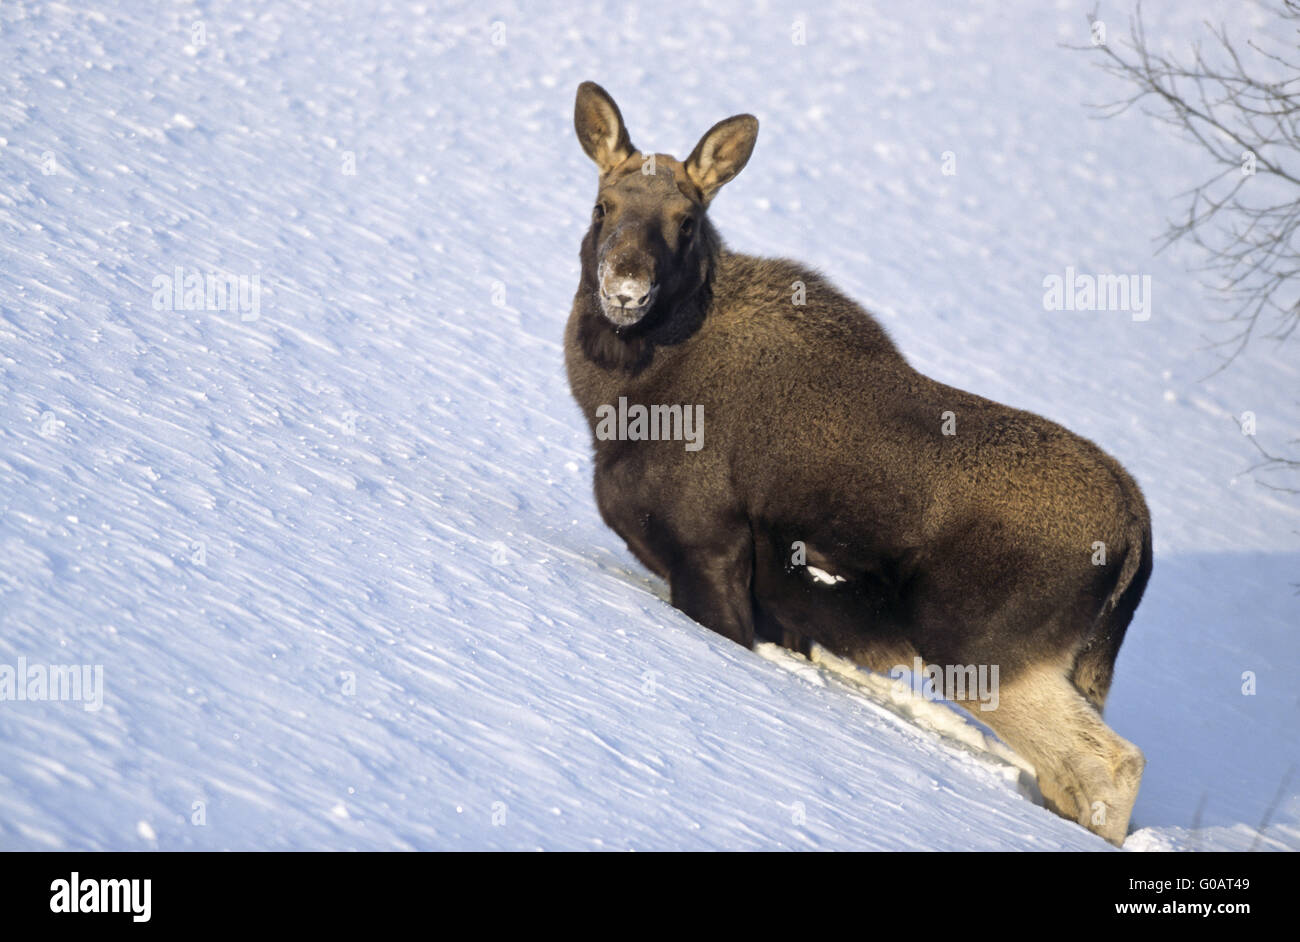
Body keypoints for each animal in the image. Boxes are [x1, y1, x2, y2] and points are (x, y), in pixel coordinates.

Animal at [564, 81, 1152, 845]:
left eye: (686, 221)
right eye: (602, 205)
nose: (625, 288)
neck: (619, 401)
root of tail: (1138, 537)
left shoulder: (709, 550)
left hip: (981, 650)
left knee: (1110, 763)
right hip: (1072, 665)